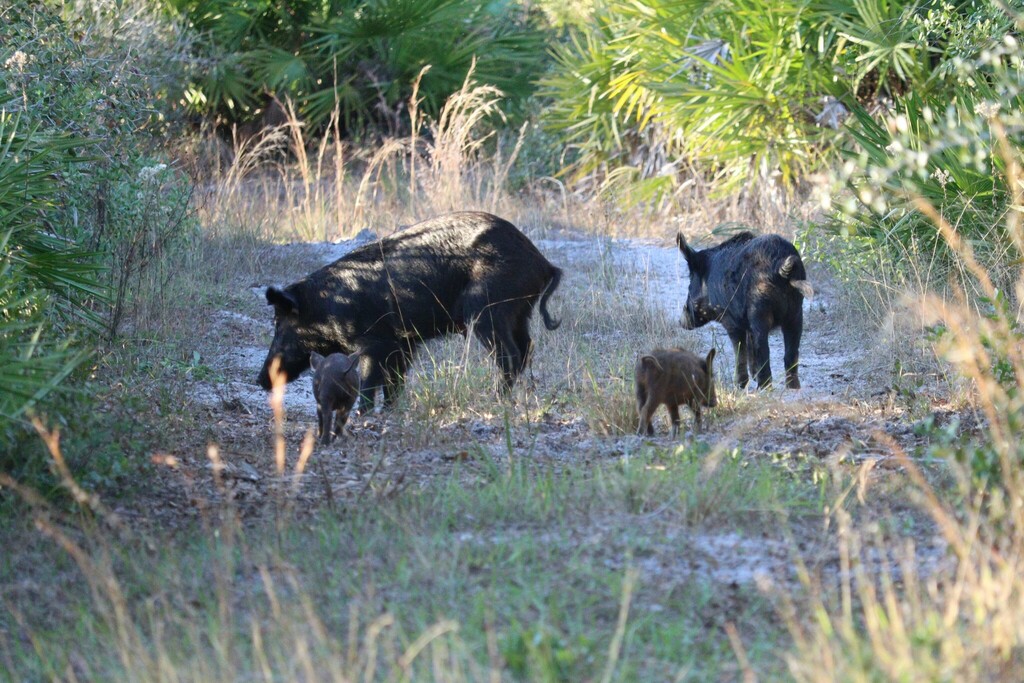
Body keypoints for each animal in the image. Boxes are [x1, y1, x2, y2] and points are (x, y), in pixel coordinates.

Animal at [257, 212, 562, 410]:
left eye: (278, 322)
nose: (260, 380)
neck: (327, 307)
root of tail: (543, 263)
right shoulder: (403, 343)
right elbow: (395, 381)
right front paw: (390, 412)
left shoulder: (374, 342)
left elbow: (370, 381)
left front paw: (365, 414)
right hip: (520, 312)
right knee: (527, 347)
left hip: (489, 308)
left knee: (510, 354)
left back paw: (494, 400)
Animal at [677, 231, 813, 390]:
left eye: (689, 284)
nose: (680, 322)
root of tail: (779, 266)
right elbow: (749, 347)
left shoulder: (730, 320)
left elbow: (740, 351)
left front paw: (739, 385)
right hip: (796, 312)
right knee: (791, 352)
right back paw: (793, 388)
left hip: (760, 310)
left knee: (764, 351)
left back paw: (764, 387)